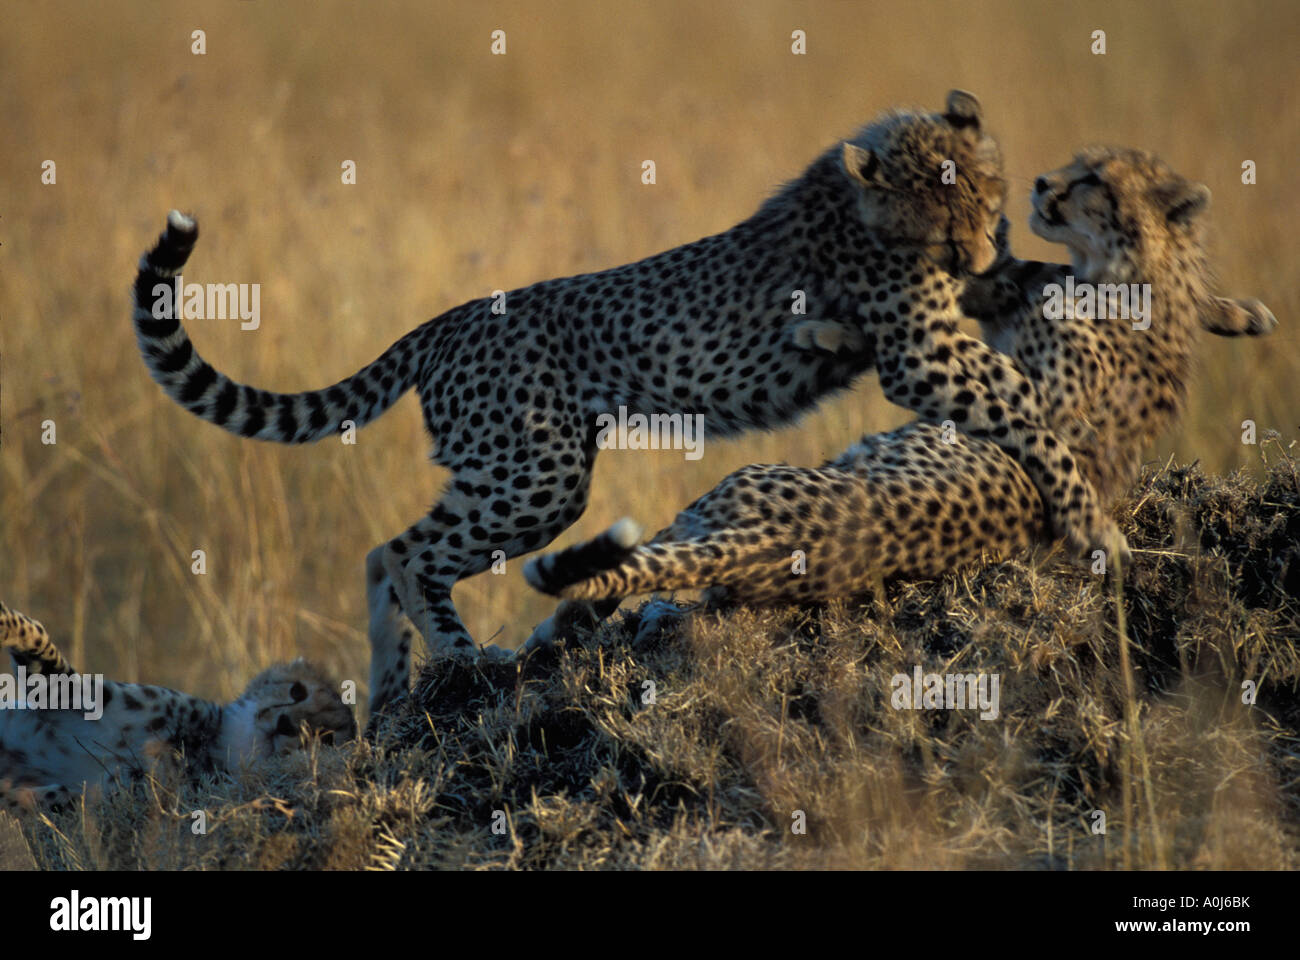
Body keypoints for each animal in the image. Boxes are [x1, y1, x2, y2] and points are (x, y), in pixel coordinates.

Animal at [0, 601, 356, 814]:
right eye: (297, 691)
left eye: (324, 739)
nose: (285, 724)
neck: (206, 747)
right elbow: (39, 642)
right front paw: (6, 622)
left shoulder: (117, 796)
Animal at [130, 90, 1122, 716]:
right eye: (940, 216)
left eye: (985, 195)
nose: (975, 244)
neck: (858, 200)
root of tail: (448, 318)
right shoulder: (921, 353)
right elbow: (1025, 406)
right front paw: (1094, 520)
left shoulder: (963, 307)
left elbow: (1039, 296)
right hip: (540, 472)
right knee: (407, 553)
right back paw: (464, 658)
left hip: (515, 472)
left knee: (381, 554)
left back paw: (390, 695)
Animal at [521, 145, 1276, 636]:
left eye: (1095, 178)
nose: (1039, 184)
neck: (1129, 270)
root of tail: (768, 546)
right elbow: (994, 286)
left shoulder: (1033, 385)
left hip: (728, 490)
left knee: (638, 557)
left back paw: (559, 621)